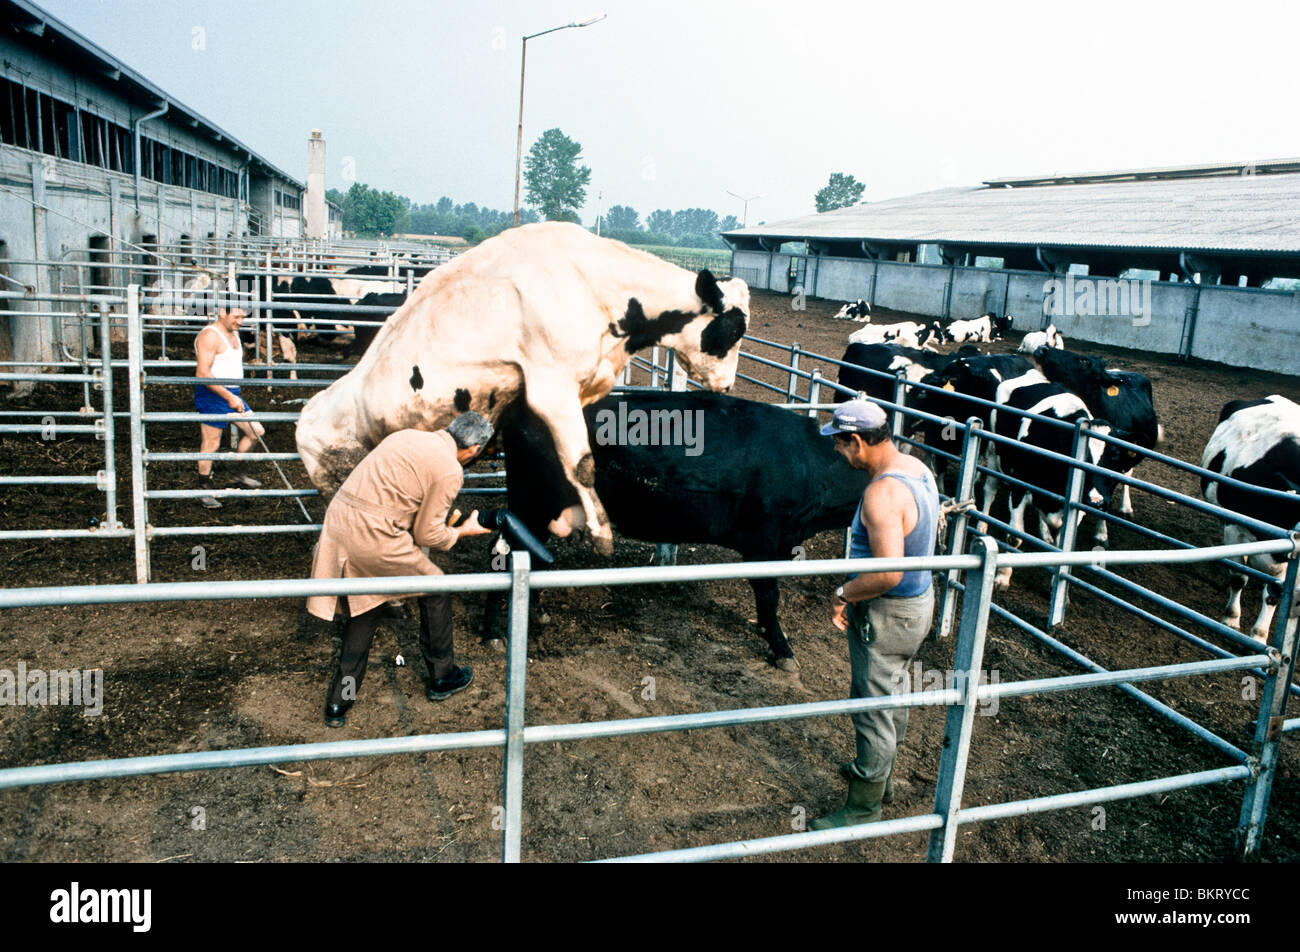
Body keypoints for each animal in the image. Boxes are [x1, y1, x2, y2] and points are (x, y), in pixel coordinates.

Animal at [295, 222, 750, 556]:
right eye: (732, 330)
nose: (727, 384)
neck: (594, 285)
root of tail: (310, 412)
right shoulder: (551, 388)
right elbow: (583, 463)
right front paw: (600, 532)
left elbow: (561, 460)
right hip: (339, 483)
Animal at [484, 391, 870, 669]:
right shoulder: (763, 539)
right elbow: (768, 595)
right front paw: (781, 648)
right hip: (530, 504)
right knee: (500, 555)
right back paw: (492, 633)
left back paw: (536, 612)